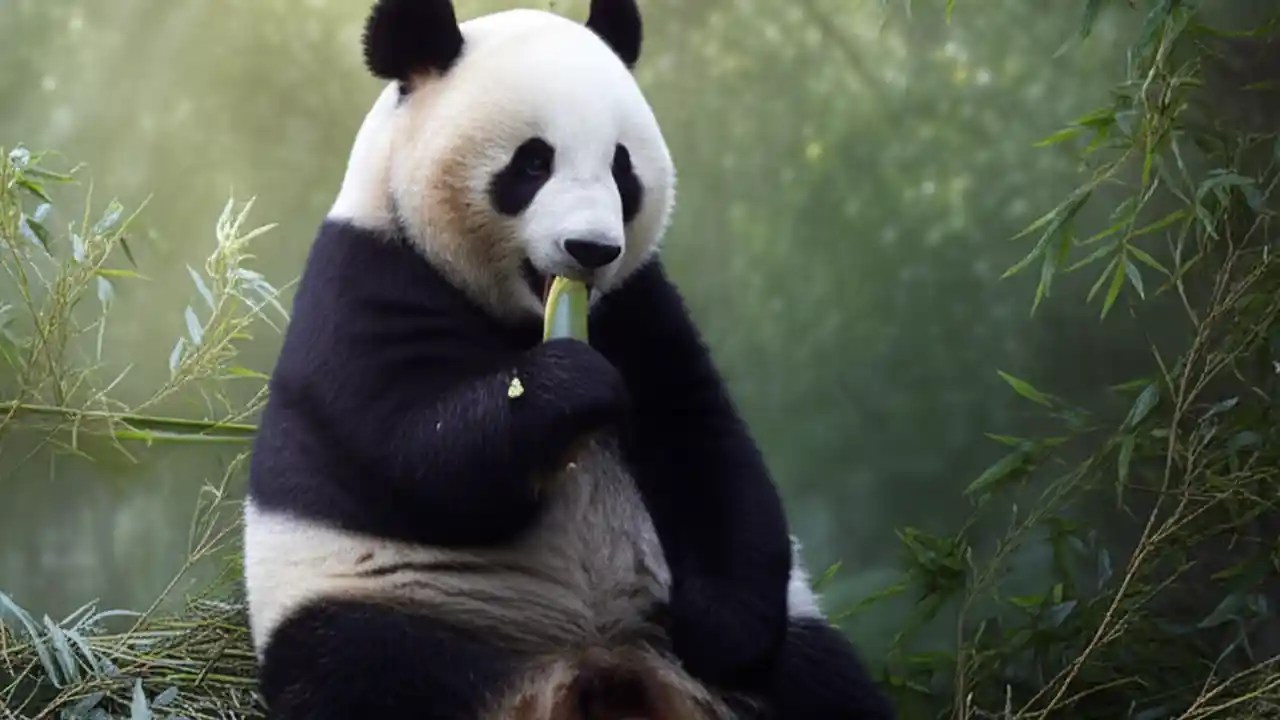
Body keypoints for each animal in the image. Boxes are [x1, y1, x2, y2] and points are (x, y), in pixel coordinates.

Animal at [242, 0, 895, 718]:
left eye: (622, 168)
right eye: (532, 164)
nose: (591, 249)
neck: (521, 319)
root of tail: (597, 667)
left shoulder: (637, 302)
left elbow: (702, 437)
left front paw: (721, 632)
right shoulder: (363, 287)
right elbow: (418, 456)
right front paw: (571, 385)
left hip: (791, 648)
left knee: (825, 682)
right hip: (394, 612)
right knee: (363, 674)